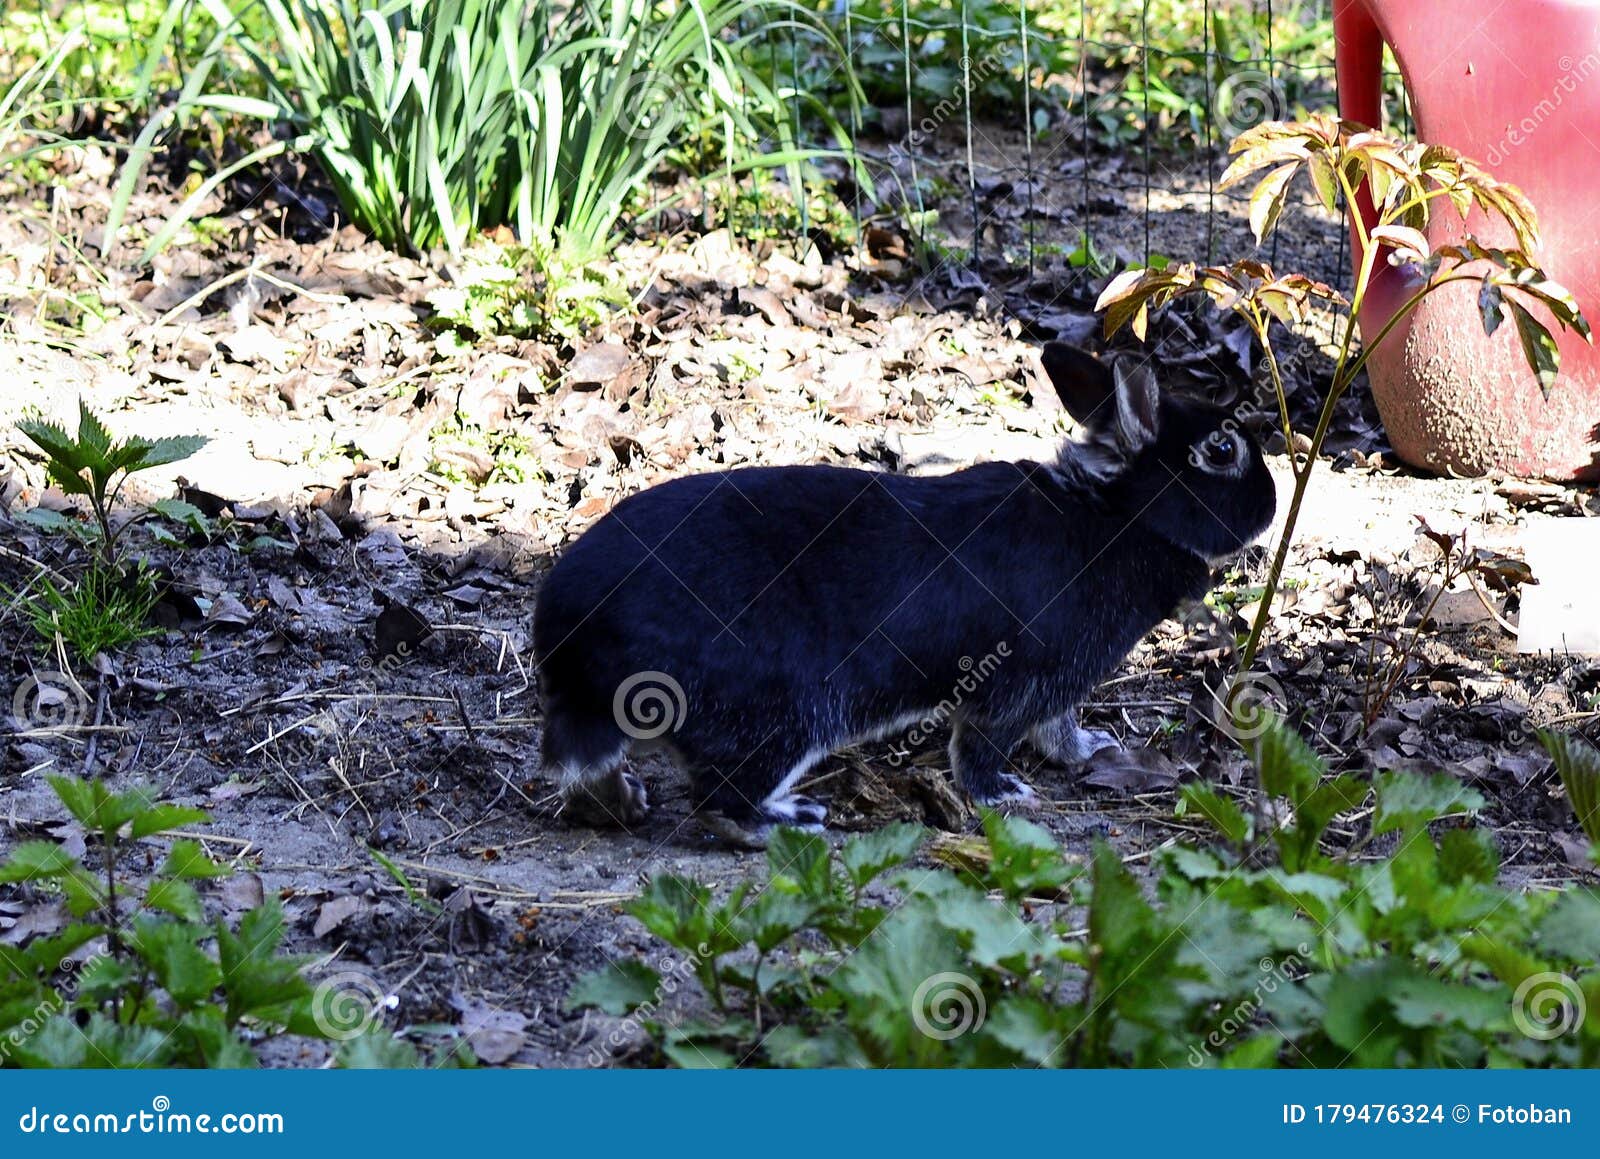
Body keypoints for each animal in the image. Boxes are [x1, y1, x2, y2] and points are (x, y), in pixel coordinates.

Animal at [533, 342, 1276, 843]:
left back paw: (625, 801)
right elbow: (984, 745)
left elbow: (1058, 728)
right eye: (1221, 450)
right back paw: (788, 820)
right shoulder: (1023, 678)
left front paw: (1090, 749)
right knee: (720, 798)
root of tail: (573, 637)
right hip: (784, 713)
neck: (1118, 516)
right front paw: (1007, 793)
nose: (1271, 505)